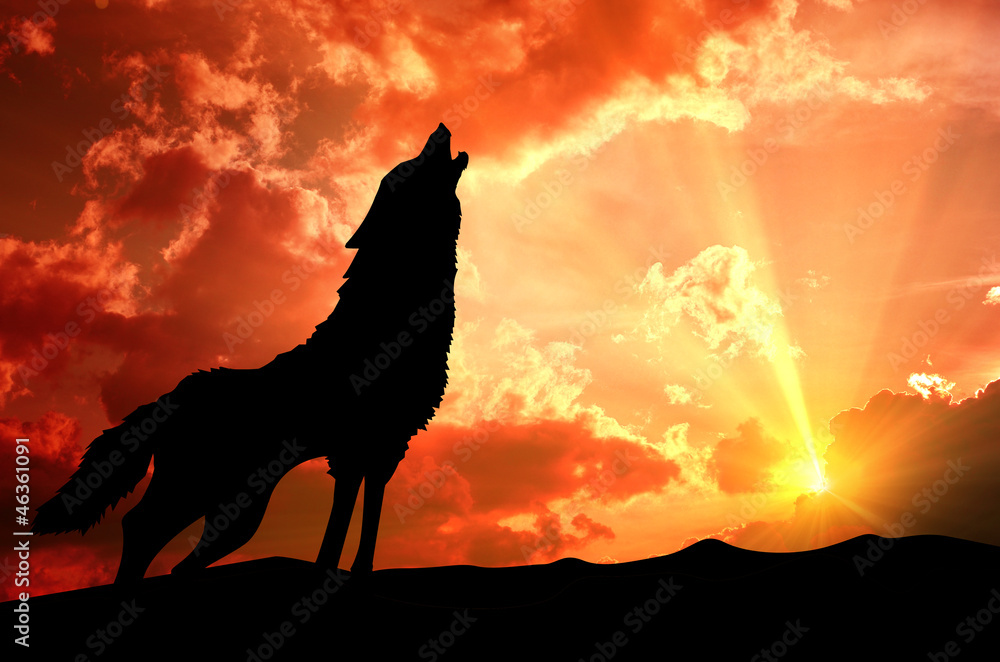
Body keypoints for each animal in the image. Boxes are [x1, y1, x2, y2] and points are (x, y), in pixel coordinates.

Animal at [32, 124, 469, 583]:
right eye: (409, 165)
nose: (440, 127)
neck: (394, 317)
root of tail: (168, 396)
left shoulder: (383, 445)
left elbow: (365, 516)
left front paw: (356, 573)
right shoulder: (355, 449)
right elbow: (341, 524)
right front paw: (329, 576)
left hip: (236, 512)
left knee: (173, 555)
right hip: (199, 490)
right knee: (140, 526)